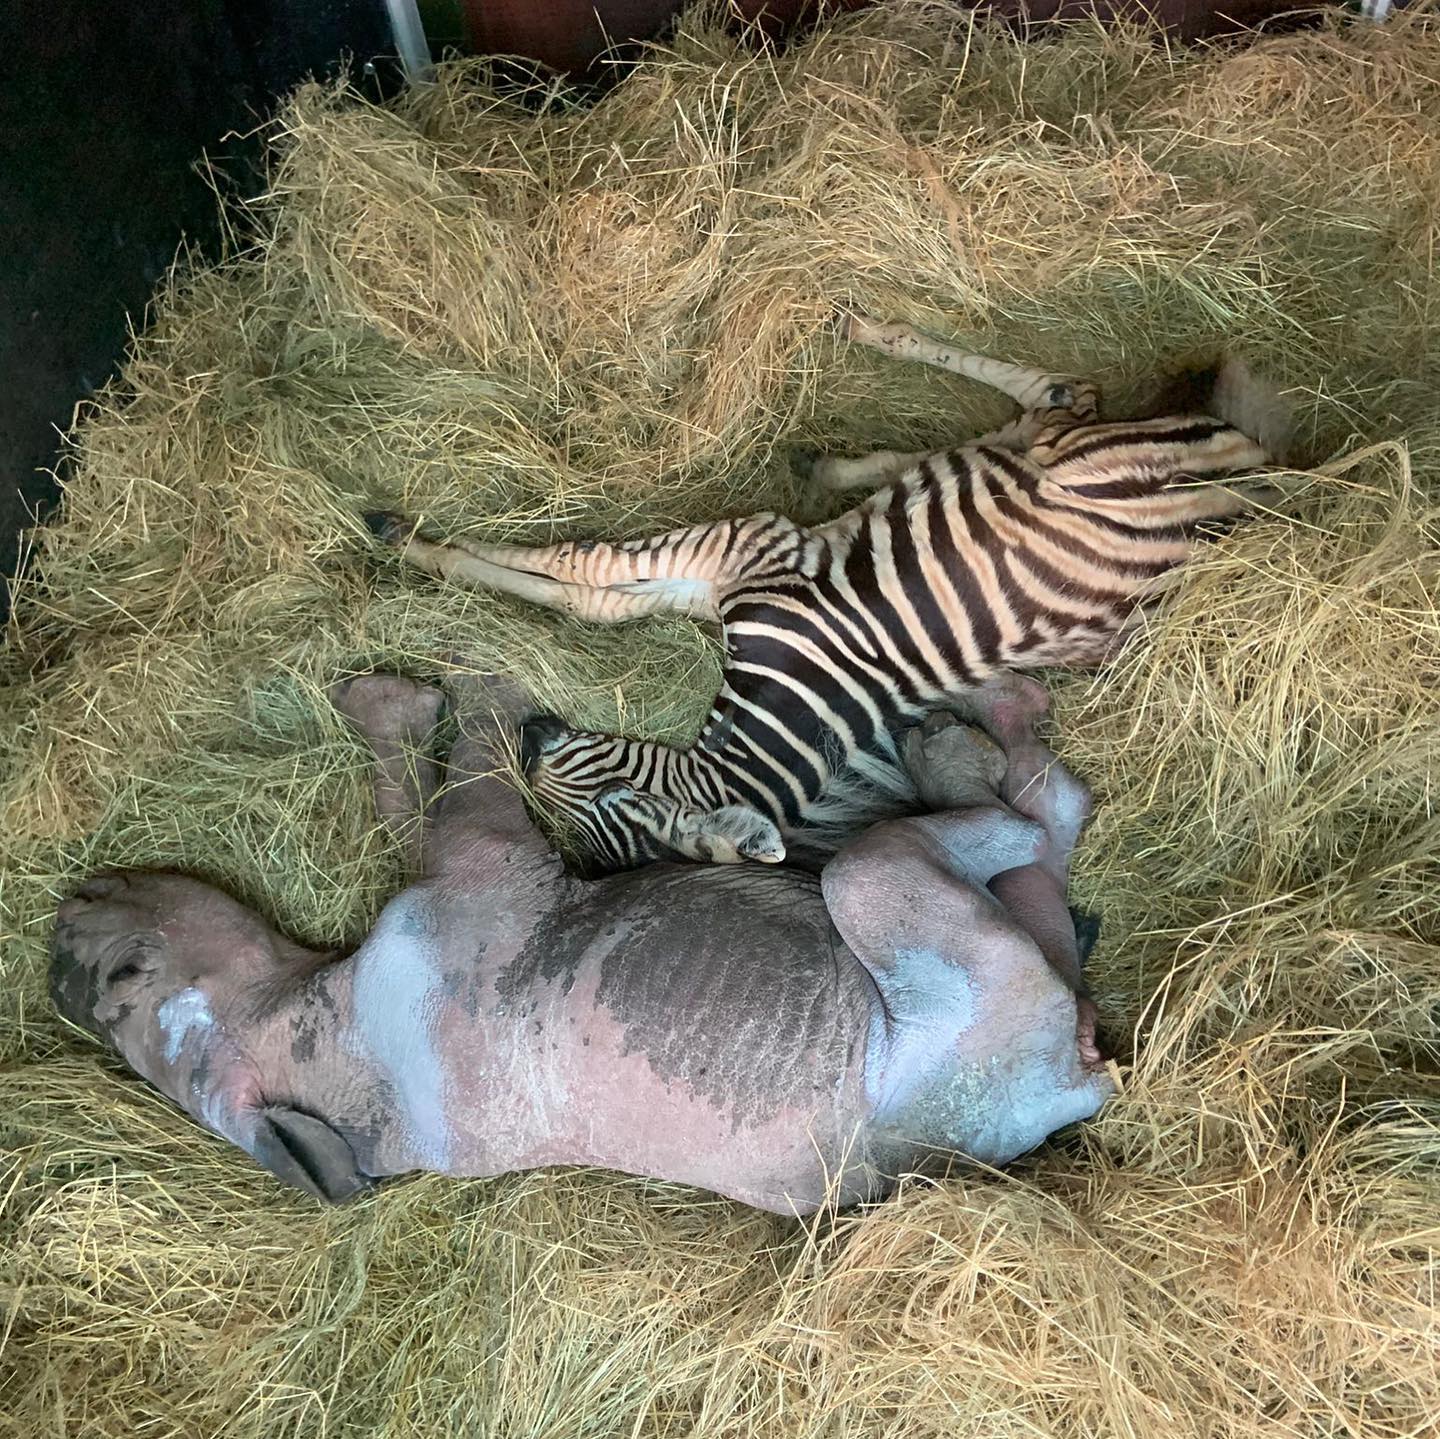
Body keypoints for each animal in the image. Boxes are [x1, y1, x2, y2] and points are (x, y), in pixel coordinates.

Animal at [369, 312, 1294, 873]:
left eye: (617, 802)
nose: (530, 734)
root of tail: (1260, 468)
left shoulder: (742, 549)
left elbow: (580, 569)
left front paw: (403, 536)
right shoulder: (722, 575)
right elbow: (588, 595)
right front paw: (422, 547)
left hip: (1075, 457)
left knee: (1062, 394)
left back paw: (873, 354)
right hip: (1049, 477)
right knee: (1042, 408)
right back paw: (844, 464)